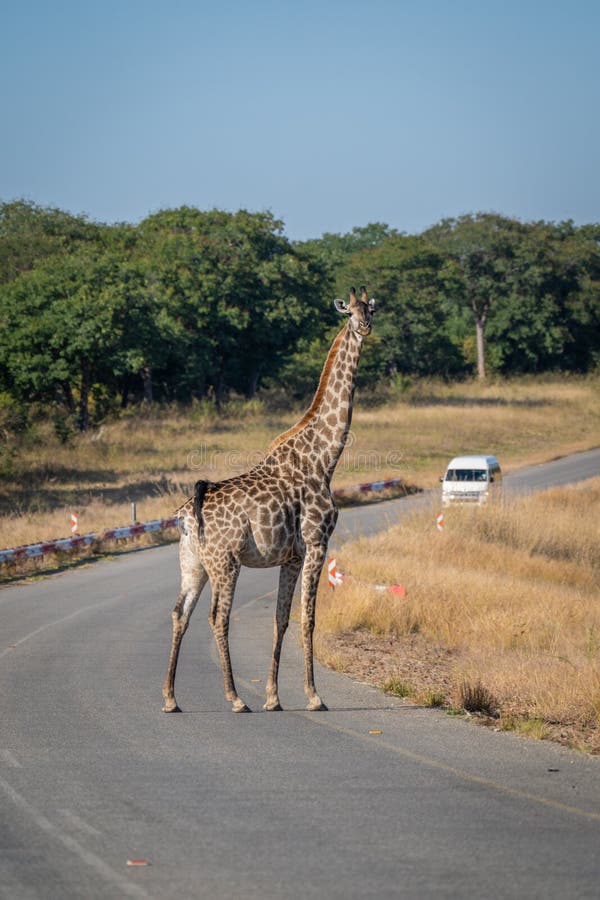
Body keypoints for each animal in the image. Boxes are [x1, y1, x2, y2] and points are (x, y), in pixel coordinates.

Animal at [162, 287, 375, 714]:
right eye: (349, 311)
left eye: (372, 309)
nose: (365, 327)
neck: (325, 458)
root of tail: (187, 515)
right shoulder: (317, 542)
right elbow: (308, 619)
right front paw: (313, 696)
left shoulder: (290, 556)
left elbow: (282, 619)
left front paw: (274, 697)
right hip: (225, 561)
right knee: (216, 617)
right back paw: (234, 698)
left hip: (193, 562)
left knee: (180, 613)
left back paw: (171, 698)